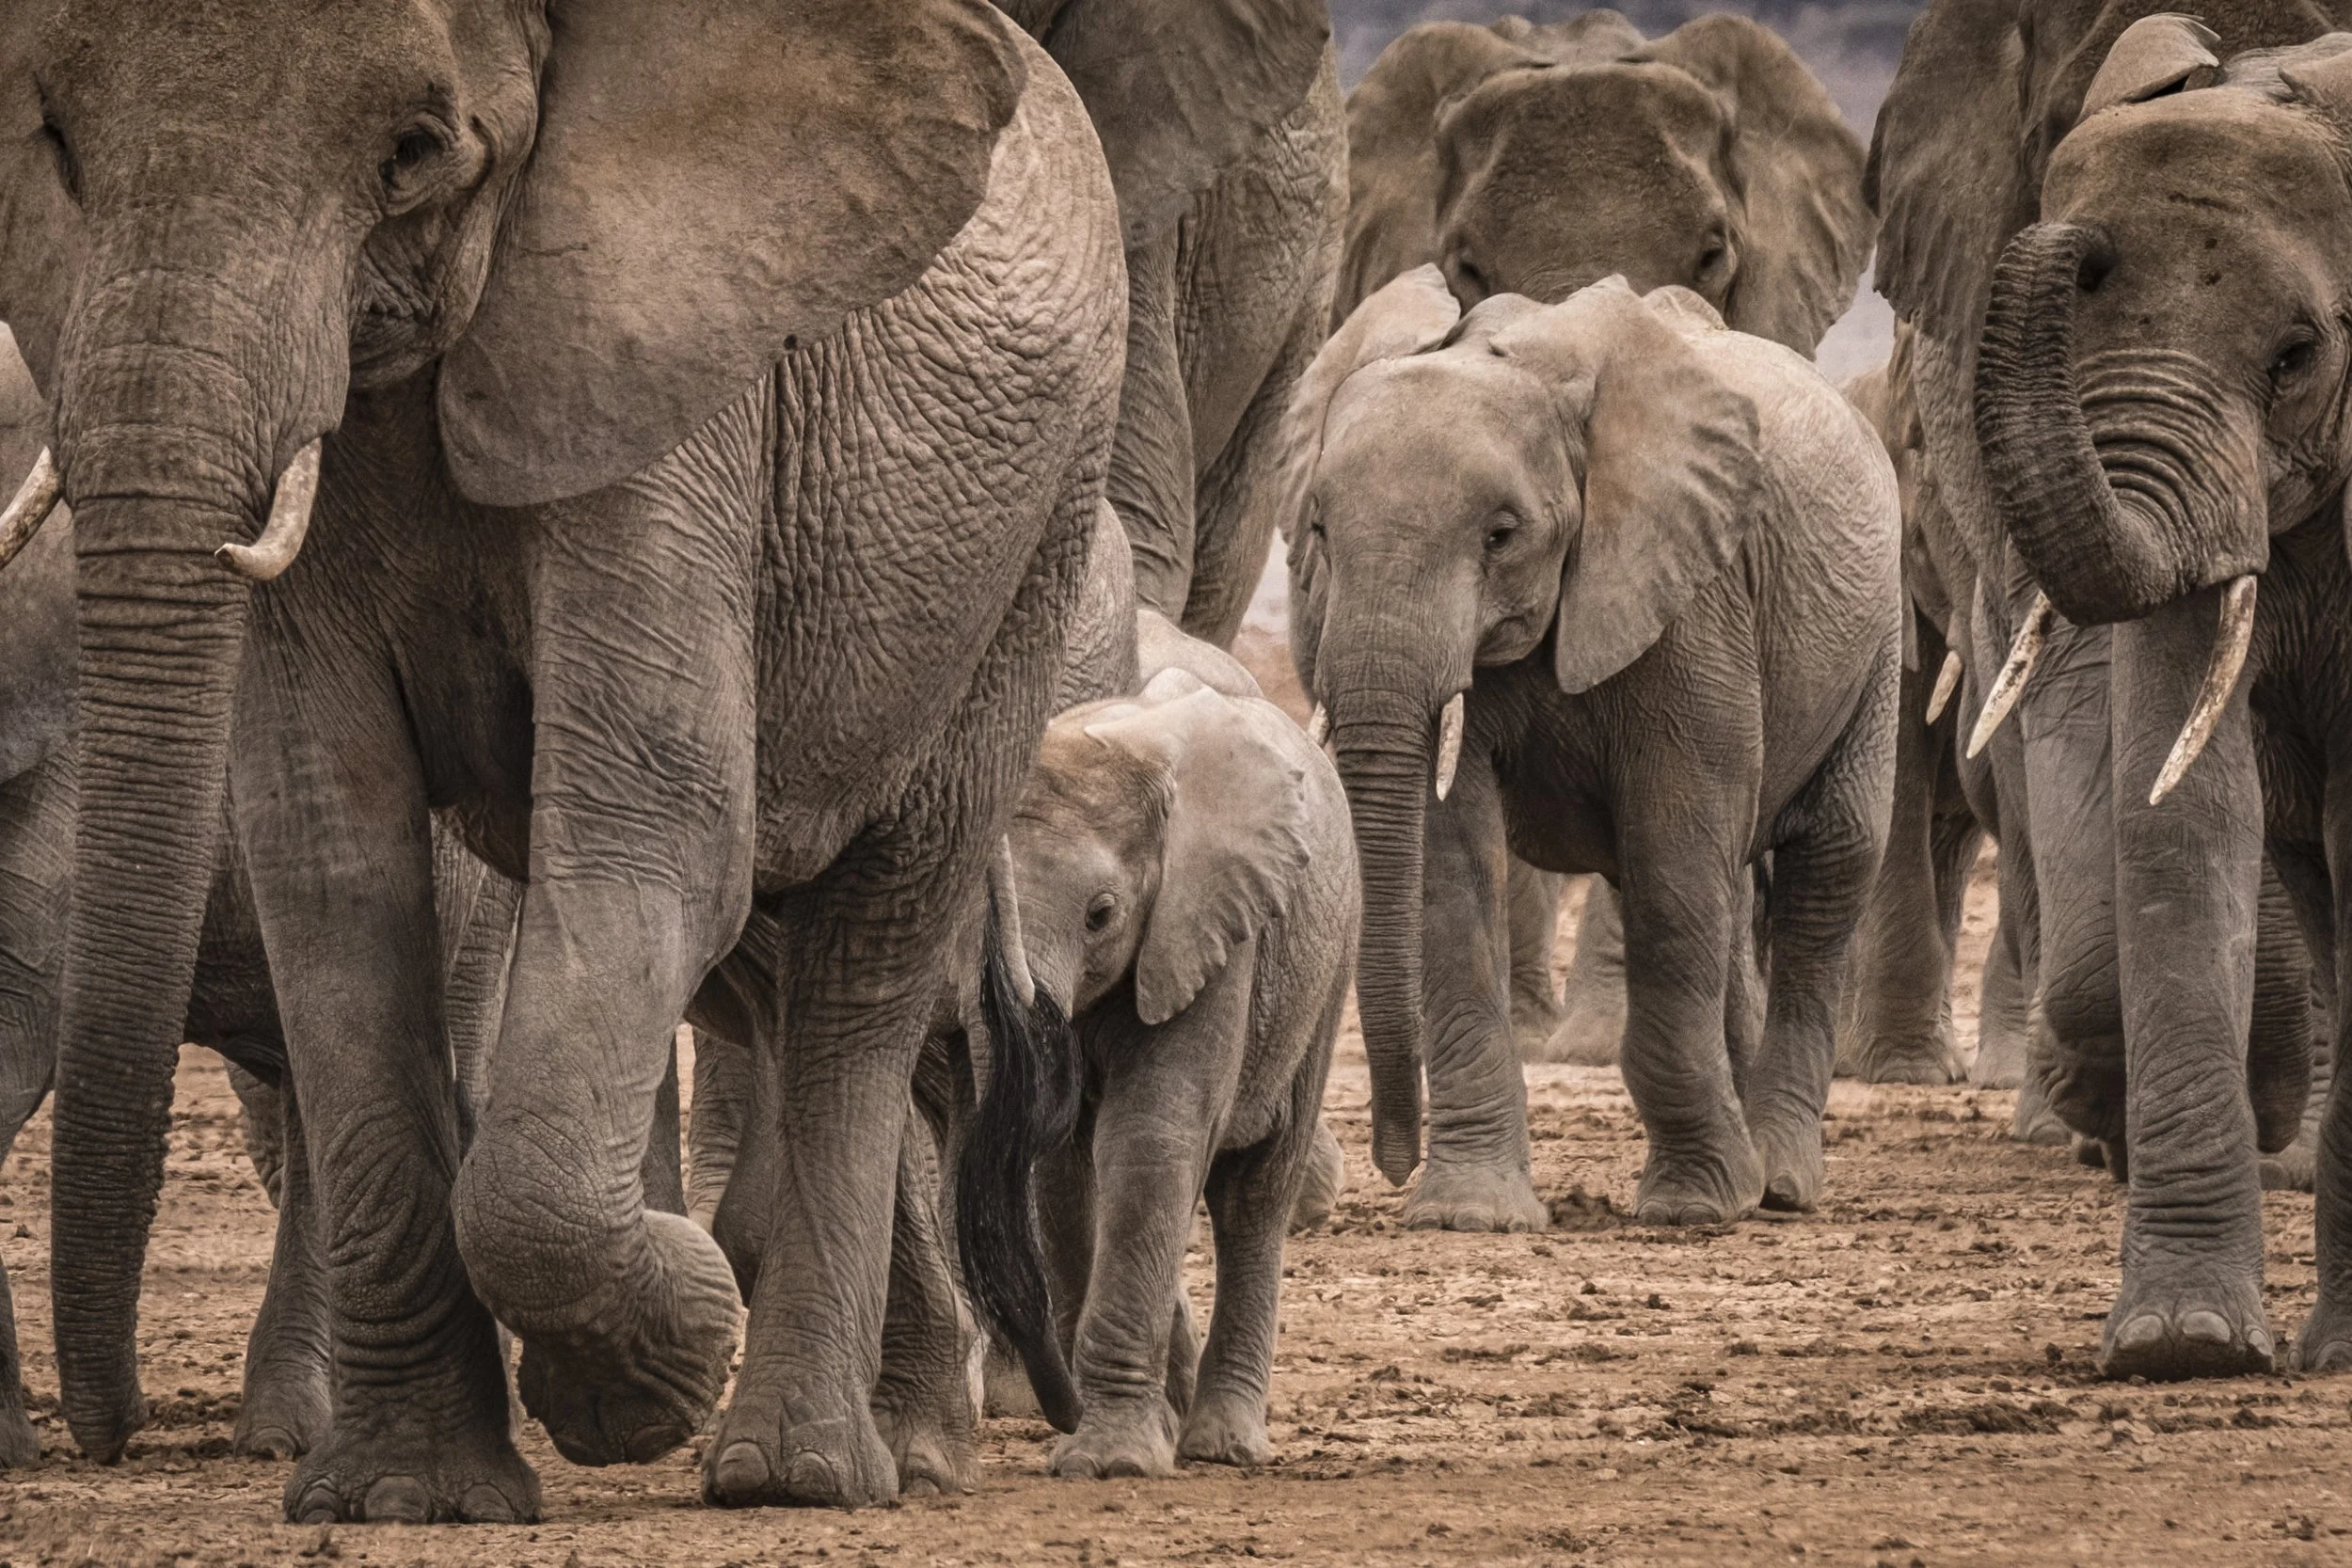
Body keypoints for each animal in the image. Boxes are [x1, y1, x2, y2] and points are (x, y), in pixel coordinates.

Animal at [0, 0, 1127, 1520]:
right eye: (57, 141)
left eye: (415, 152)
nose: (107, 1435)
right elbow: (329, 848)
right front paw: (400, 1498)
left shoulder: (673, 390)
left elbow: (661, 826)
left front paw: (637, 1384)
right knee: (785, 967)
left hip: (1038, 538)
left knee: (877, 939)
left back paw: (807, 1470)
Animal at [954, 667, 1356, 1478]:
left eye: (1101, 914)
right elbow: (1064, 1166)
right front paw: (1125, 1434)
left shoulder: (1211, 924)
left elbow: (1151, 1133)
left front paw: (1110, 1462)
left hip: (1327, 962)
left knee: (1254, 1192)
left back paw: (1223, 1446)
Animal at [1286, 268, 1899, 1231]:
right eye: (1317, 530)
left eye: (1501, 534)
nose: (1386, 1167)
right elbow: (1449, 865)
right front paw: (1470, 1216)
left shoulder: (1696, 597)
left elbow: (1675, 858)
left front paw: (1695, 1208)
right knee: (1729, 890)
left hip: (1876, 637)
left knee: (1828, 865)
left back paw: (1779, 1187)